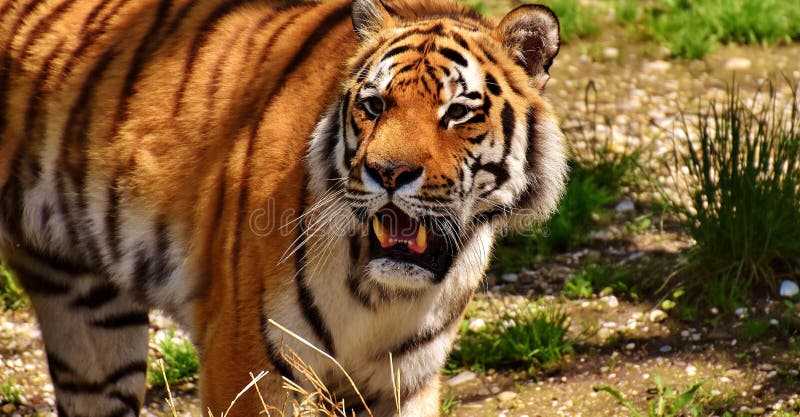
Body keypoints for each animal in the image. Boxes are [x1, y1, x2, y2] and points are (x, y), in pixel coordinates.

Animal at [0, 0, 568, 416]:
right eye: (374, 105)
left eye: (456, 113)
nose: (387, 173)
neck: (382, 293)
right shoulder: (248, 365)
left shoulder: (406, 382)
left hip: (86, 307)